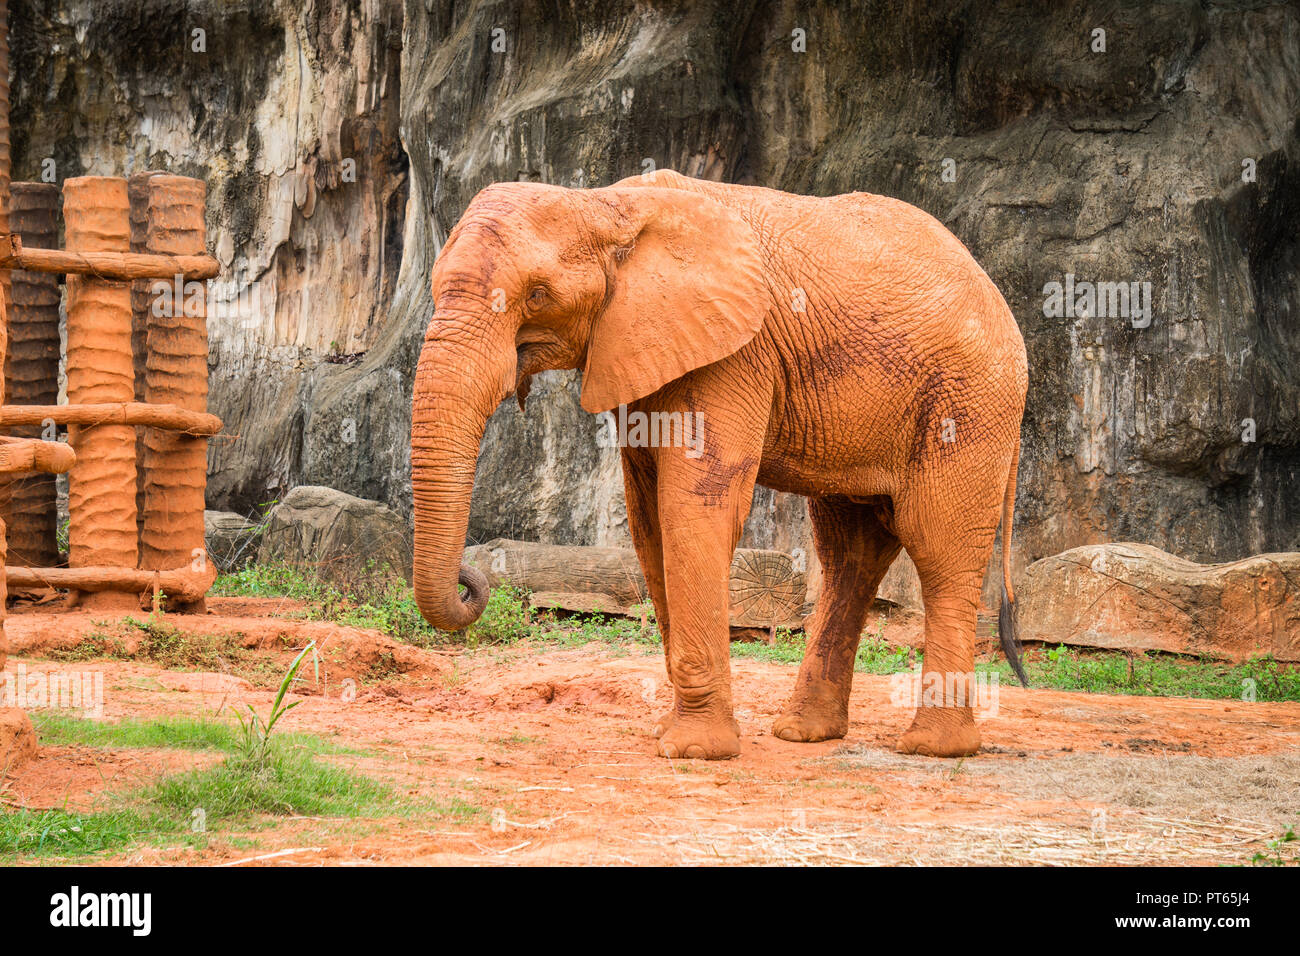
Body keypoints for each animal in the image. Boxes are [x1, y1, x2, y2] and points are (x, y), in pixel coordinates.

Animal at [412, 168, 1028, 760]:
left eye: (538, 295)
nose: (472, 579)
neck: (608, 204)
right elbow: (649, 523)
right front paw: (673, 734)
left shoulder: (734, 352)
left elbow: (694, 507)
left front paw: (693, 750)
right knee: (850, 551)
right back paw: (804, 734)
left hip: (968, 402)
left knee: (938, 547)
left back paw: (933, 747)